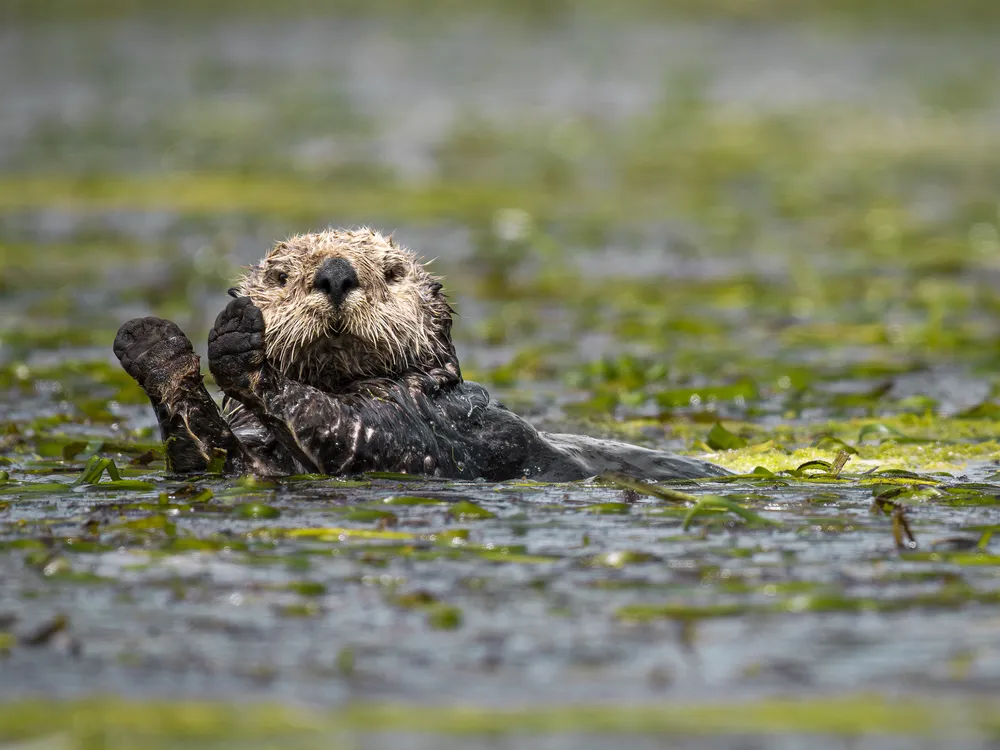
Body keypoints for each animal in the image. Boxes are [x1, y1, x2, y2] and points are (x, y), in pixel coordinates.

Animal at [113, 228, 729, 482]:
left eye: (392, 271)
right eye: (280, 276)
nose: (335, 274)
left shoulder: (430, 424)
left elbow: (338, 423)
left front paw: (243, 346)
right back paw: (151, 345)